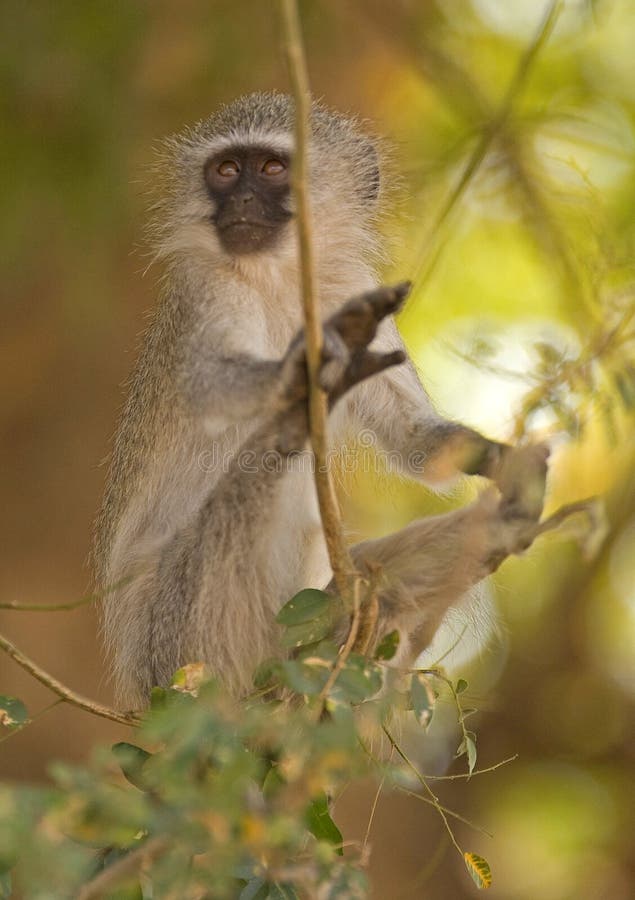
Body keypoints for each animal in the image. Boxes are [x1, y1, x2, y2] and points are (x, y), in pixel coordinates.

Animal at [94, 92, 549, 709]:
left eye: (272, 168)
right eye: (226, 170)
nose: (239, 199)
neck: (281, 280)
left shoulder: (348, 292)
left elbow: (417, 445)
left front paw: (501, 461)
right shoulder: (210, 290)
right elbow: (204, 385)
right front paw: (305, 373)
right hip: (172, 643)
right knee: (252, 476)